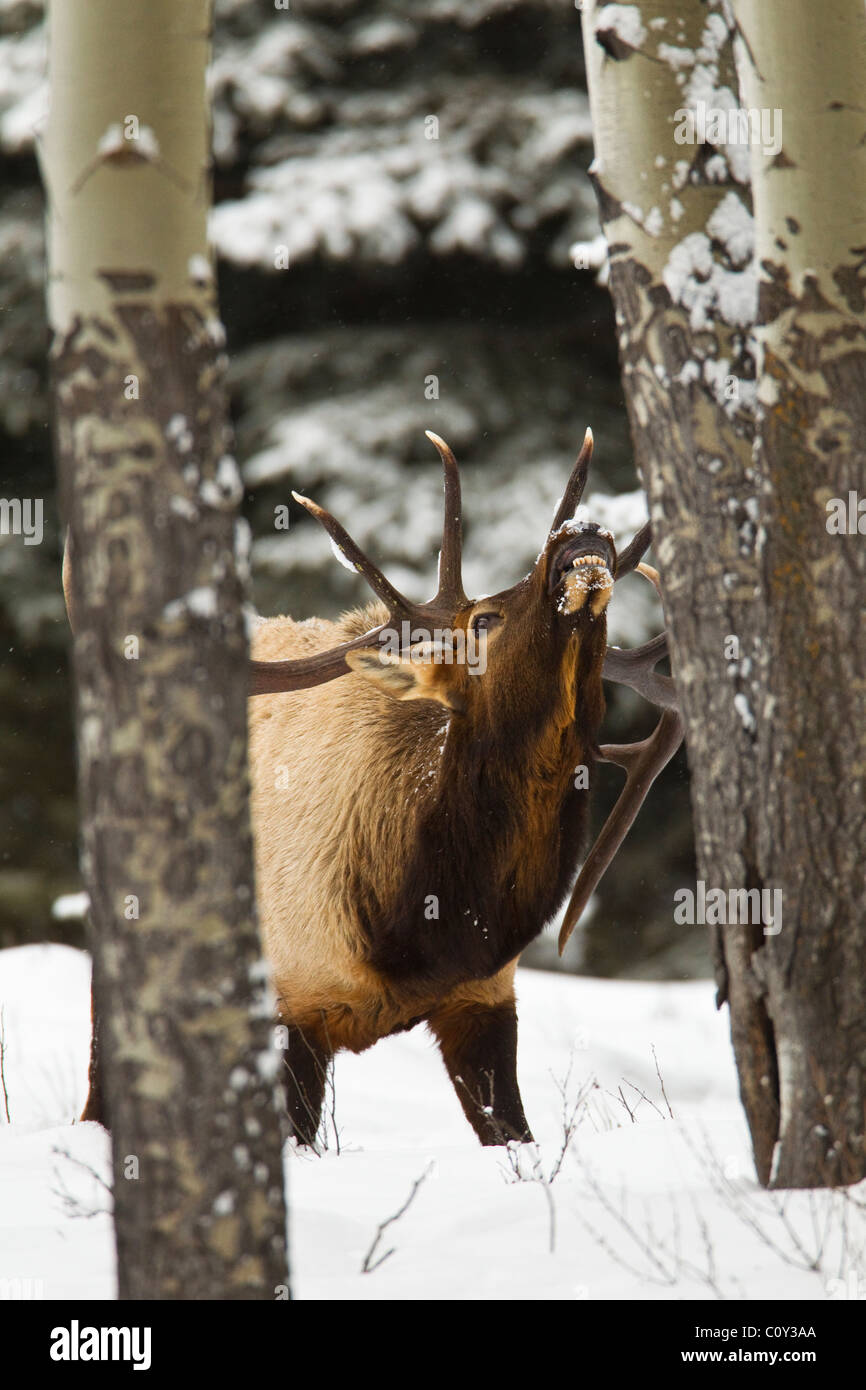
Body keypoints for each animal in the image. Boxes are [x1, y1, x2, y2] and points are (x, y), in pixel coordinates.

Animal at [74, 429, 681, 1146]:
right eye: (485, 618)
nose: (581, 531)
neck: (427, 924)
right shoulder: (292, 1002)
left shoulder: (484, 999)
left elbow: (513, 1134)